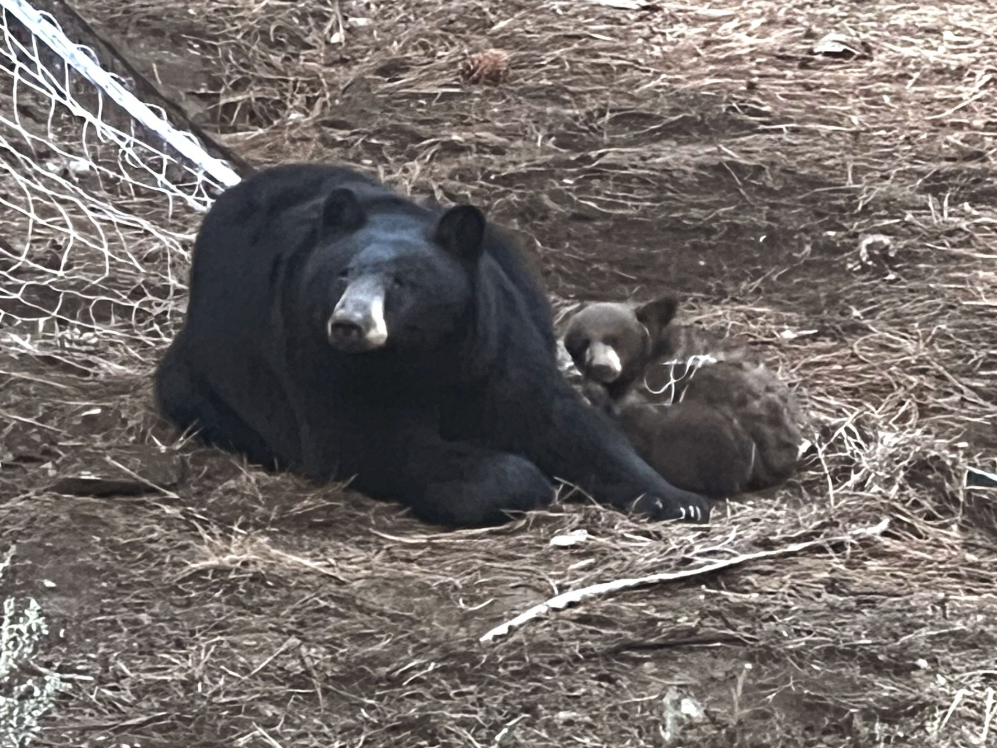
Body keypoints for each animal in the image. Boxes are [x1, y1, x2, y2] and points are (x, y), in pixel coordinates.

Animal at [154, 163, 712, 527]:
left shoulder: (494, 337)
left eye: (402, 283)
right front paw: (525, 481)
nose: (349, 324)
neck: (422, 355)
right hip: (202, 372)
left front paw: (680, 498)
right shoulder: (314, 355)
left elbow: (561, 419)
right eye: (342, 274)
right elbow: (369, 439)